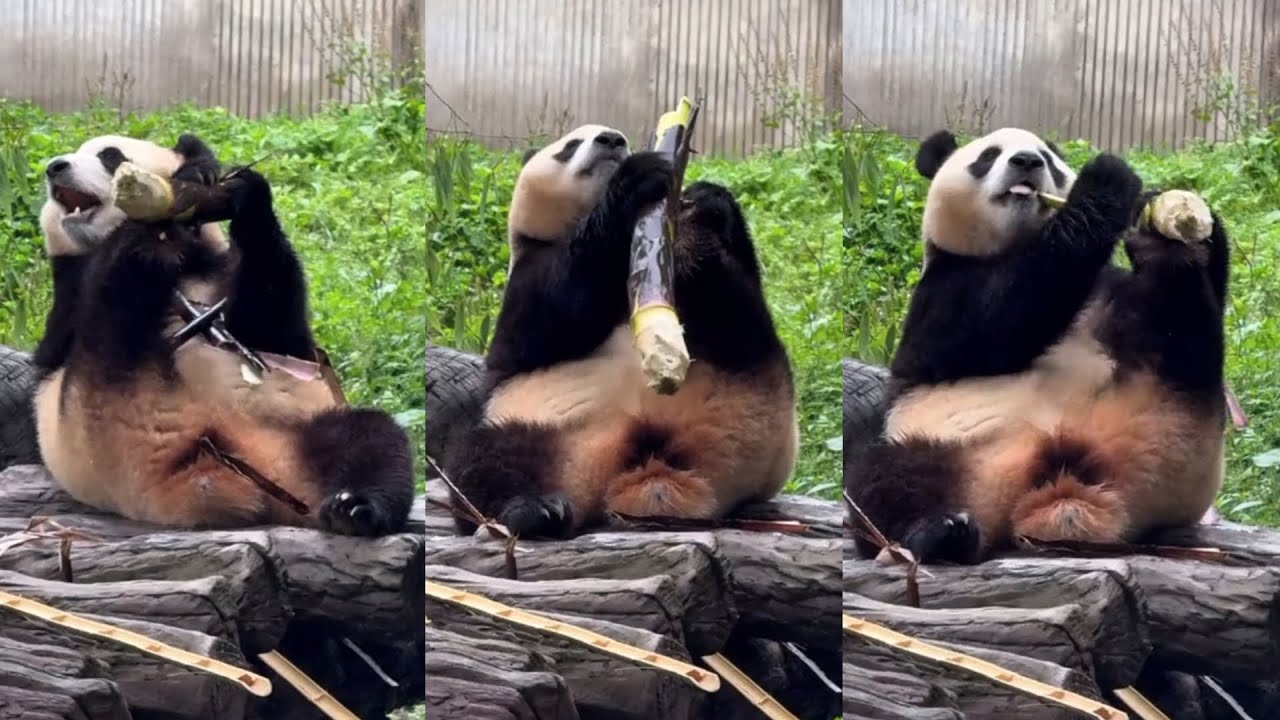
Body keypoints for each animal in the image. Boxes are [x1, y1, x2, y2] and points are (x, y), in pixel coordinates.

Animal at [32, 133, 414, 536]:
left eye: (109, 155)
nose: (55, 167)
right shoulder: (69, 292)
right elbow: (56, 349)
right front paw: (155, 224)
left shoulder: (222, 281)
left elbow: (273, 325)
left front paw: (219, 180)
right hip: (87, 421)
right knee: (109, 332)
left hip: (291, 435)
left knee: (371, 440)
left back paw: (354, 508)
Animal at [443, 124, 799, 537]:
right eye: (570, 145)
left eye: (622, 139)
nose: (611, 139)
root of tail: (641, 469)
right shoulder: (528, 272)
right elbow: (551, 312)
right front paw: (637, 180)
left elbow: (743, 255)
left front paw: (707, 199)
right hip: (542, 424)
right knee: (482, 458)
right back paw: (534, 509)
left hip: (757, 411)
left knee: (737, 316)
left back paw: (694, 243)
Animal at [846, 127, 1229, 564]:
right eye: (989, 155)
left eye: (1048, 156)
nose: (1027, 161)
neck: (1014, 240)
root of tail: (1061, 493)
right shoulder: (940, 294)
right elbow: (999, 315)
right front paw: (1108, 182)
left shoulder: (1110, 290)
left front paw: (1171, 216)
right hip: (947, 444)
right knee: (883, 479)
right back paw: (941, 532)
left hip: (1173, 431)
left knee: (1181, 338)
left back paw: (1165, 258)